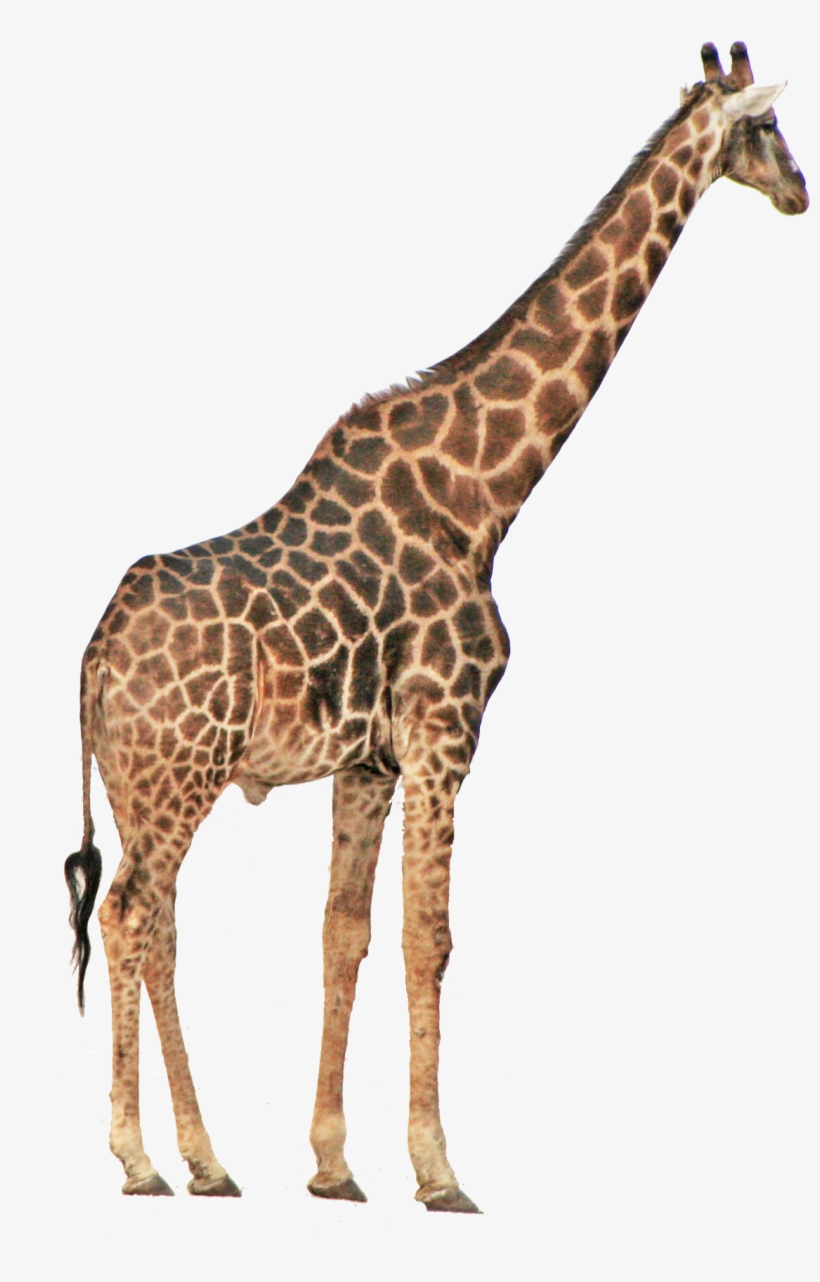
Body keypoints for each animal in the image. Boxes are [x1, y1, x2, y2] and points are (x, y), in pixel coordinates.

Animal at [65, 42, 808, 1211]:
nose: (798, 193)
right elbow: (431, 936)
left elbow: (345, 934)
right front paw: (439, 1168)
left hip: (144, 779)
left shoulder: (370, 757)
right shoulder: (445, 734)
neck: (485, 493)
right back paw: (150, 1159)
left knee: (151, 920)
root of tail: (92, 654)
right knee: (133, 915)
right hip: (181, 770)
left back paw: (198, 1158)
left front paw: (332, 1165)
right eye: (770, 128)